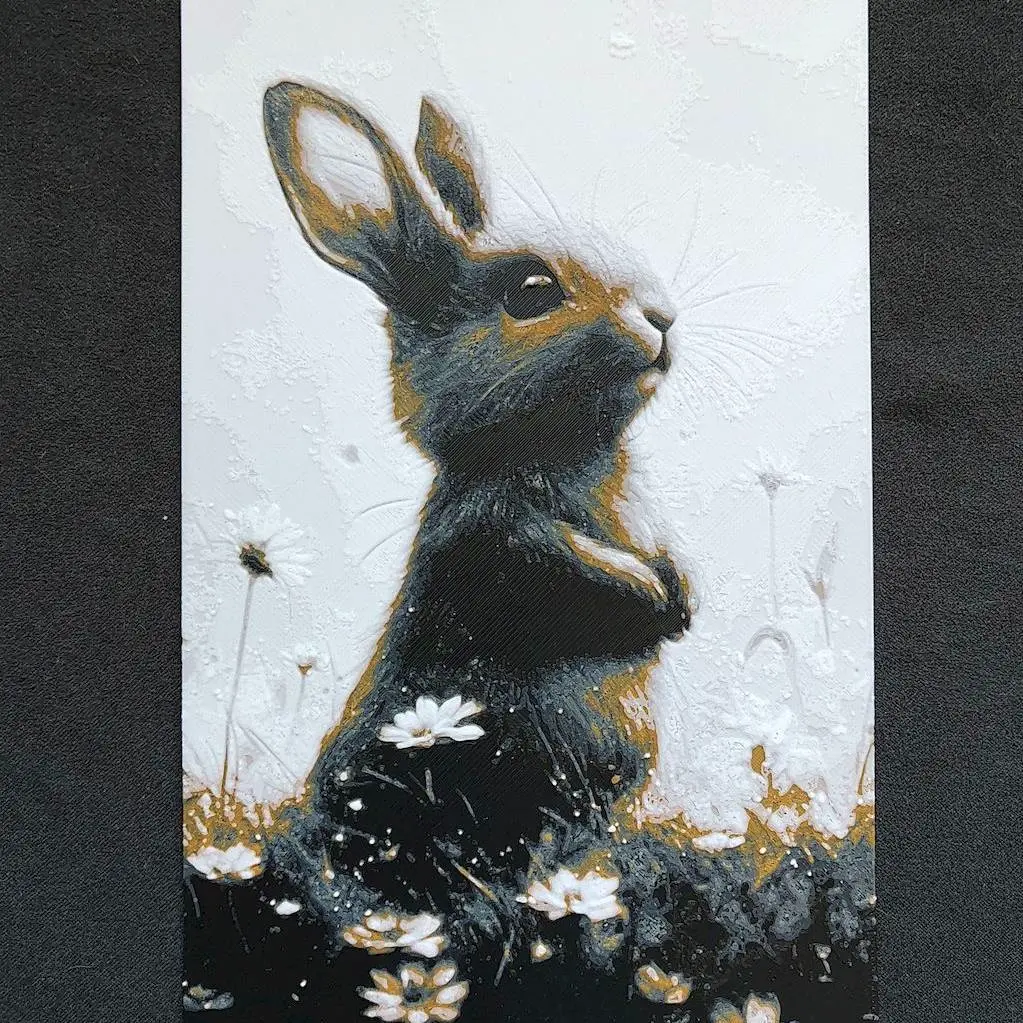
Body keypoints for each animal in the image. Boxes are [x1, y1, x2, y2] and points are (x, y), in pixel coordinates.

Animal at [183, 83, 875, 1023]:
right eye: (532, 292)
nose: (662, 316)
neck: (561, 449)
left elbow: (660, 550)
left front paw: (684, 591)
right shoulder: (498, 539)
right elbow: (570, 569)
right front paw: (664, 608)